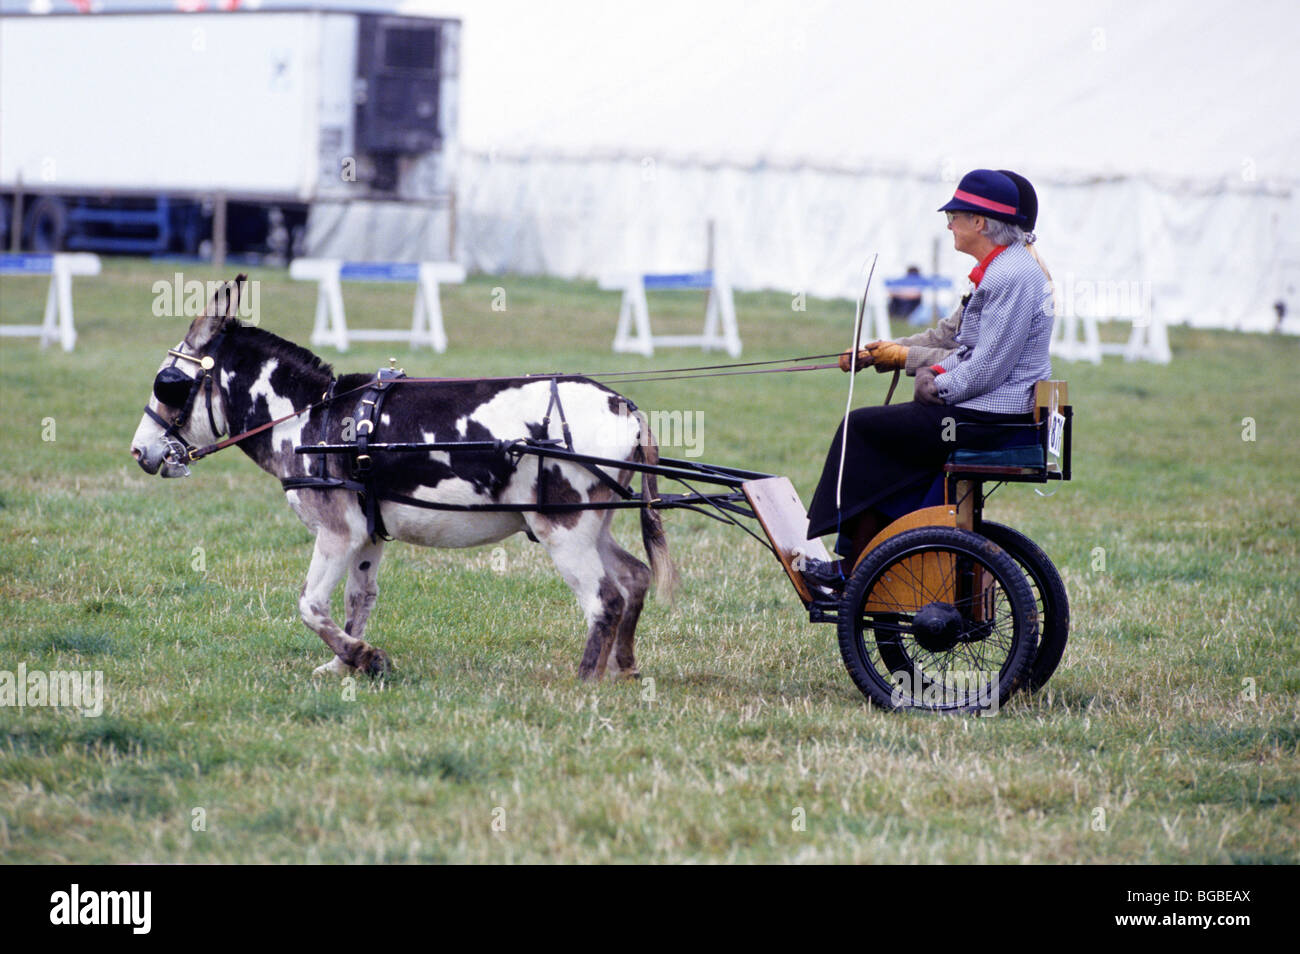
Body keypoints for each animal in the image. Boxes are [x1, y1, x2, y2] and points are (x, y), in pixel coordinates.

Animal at [130, 276, 677, 680]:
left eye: (167, 384)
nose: (139, 451)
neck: (313, 420)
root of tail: (622, 406)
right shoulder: (367, 536)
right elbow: (357, 601)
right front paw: (344, 663)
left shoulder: (337, 532)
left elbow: (309, 604)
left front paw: (365, 657)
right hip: (593, 524)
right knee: (634, 578)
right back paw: (624, 669)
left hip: (562, 529)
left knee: (604, 600)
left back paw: (584, 682)